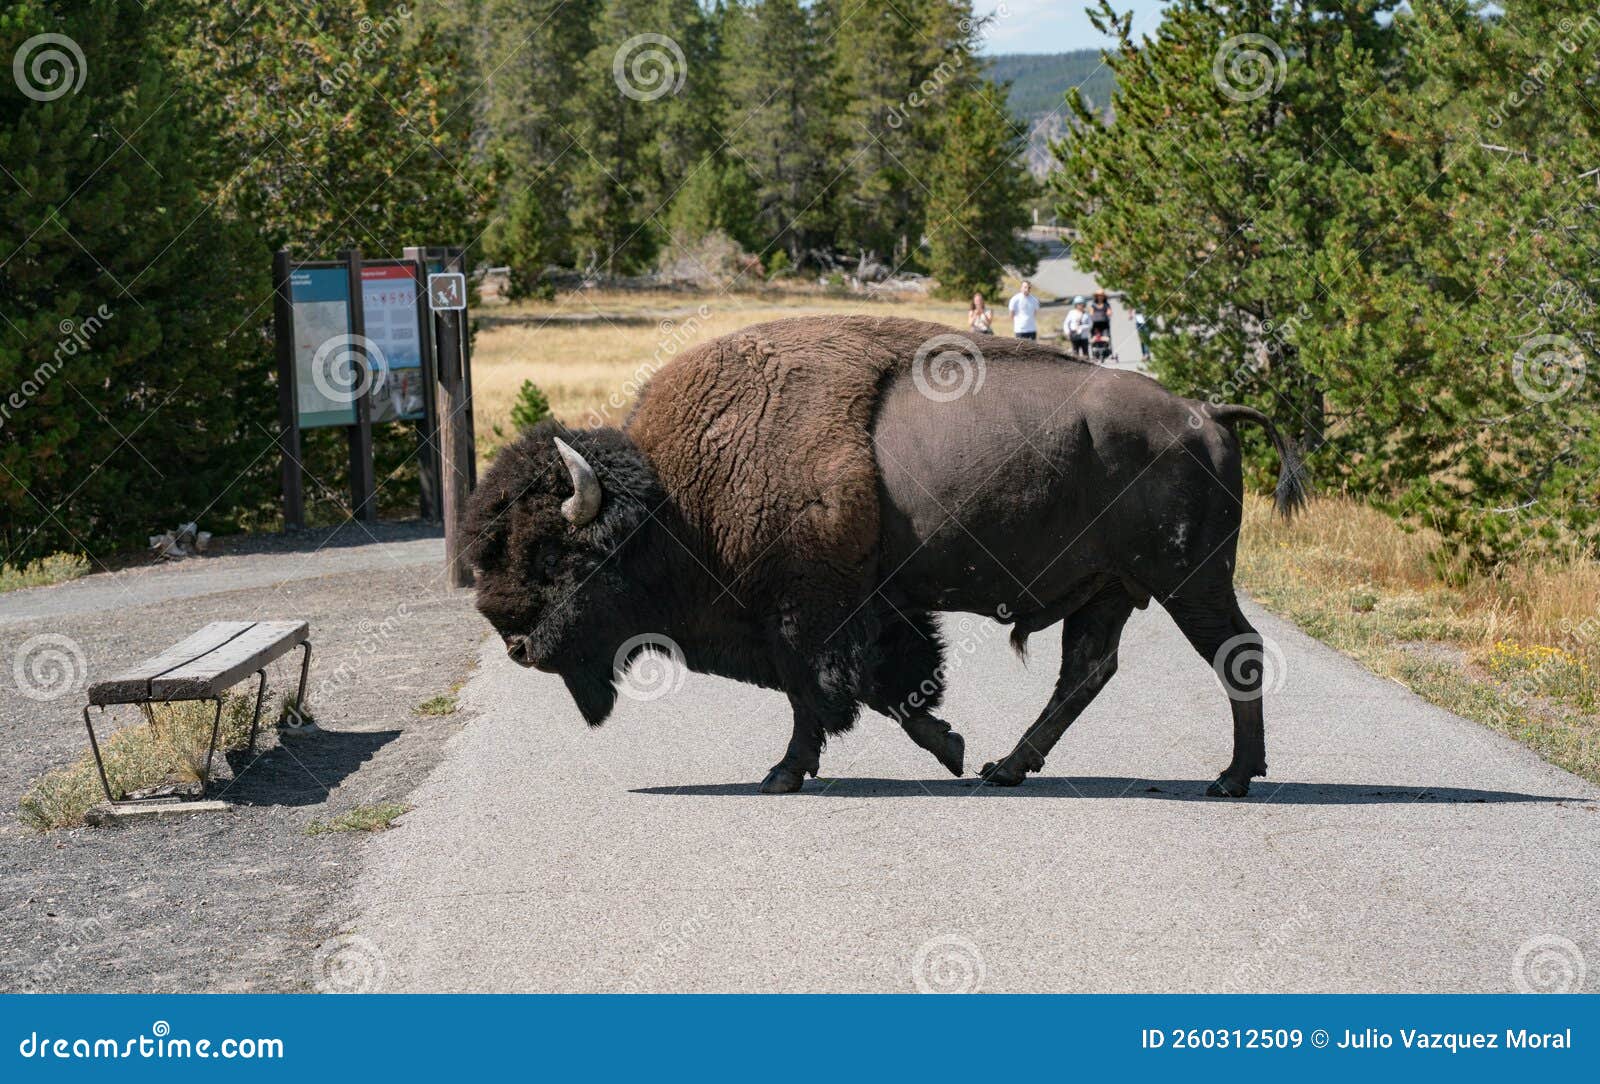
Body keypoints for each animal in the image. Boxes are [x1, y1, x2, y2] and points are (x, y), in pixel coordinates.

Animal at [466, 316, 1306, 795]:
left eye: (556, 558)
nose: (513, 642)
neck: (674, 499)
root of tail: (1205, 412)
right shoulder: (874, 608)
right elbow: (887, 685)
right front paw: (953, 749)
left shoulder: (807, 615)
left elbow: (819, 694)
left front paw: (783, 774)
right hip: (1107, 591)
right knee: (1086, 671)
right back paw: (1007, 767)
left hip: (1190, 583)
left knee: (1237, 655)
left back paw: (1232, 780)